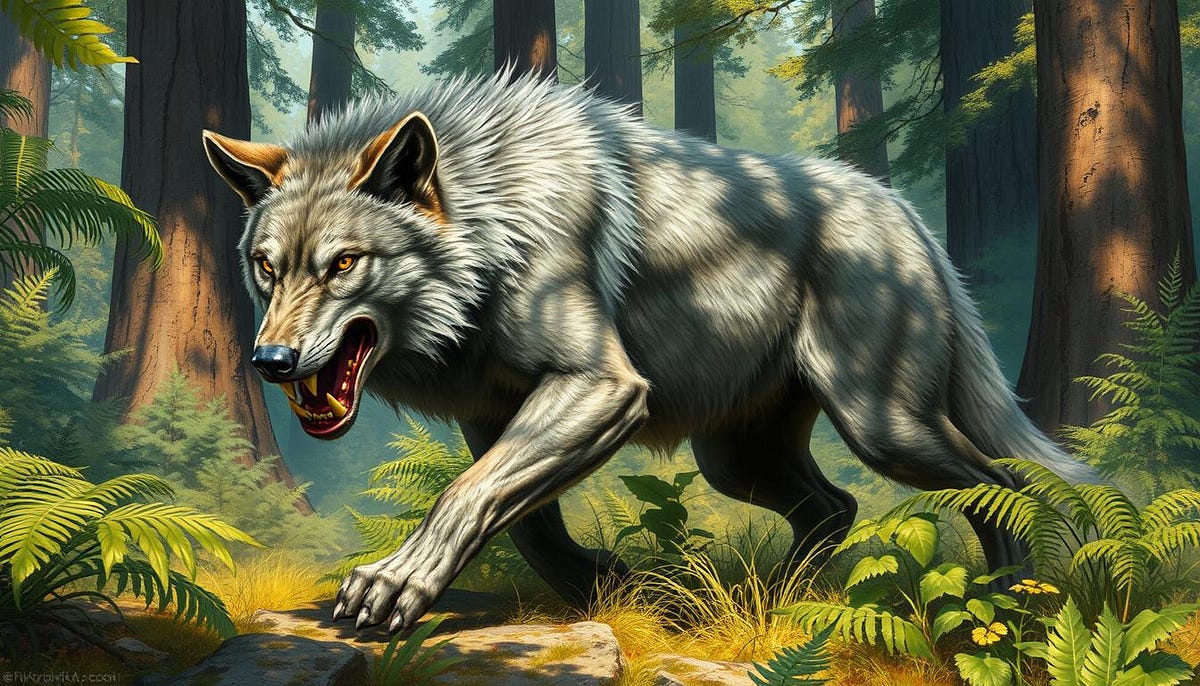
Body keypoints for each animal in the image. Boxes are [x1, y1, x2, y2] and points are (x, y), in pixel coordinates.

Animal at [202, 71, 1091, 632]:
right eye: (267, 267)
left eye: (344, 264)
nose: (269, 362)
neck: (496, 227)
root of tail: (904, 210)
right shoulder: (492, 415)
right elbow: (519, 518)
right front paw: (610, 585)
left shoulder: (604, 386)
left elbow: (464, 497)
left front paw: (392, 583)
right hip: (734, 458)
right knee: (835, 506)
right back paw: (768, 604)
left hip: (882, 427)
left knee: (1004, 482)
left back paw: (1009, 598)